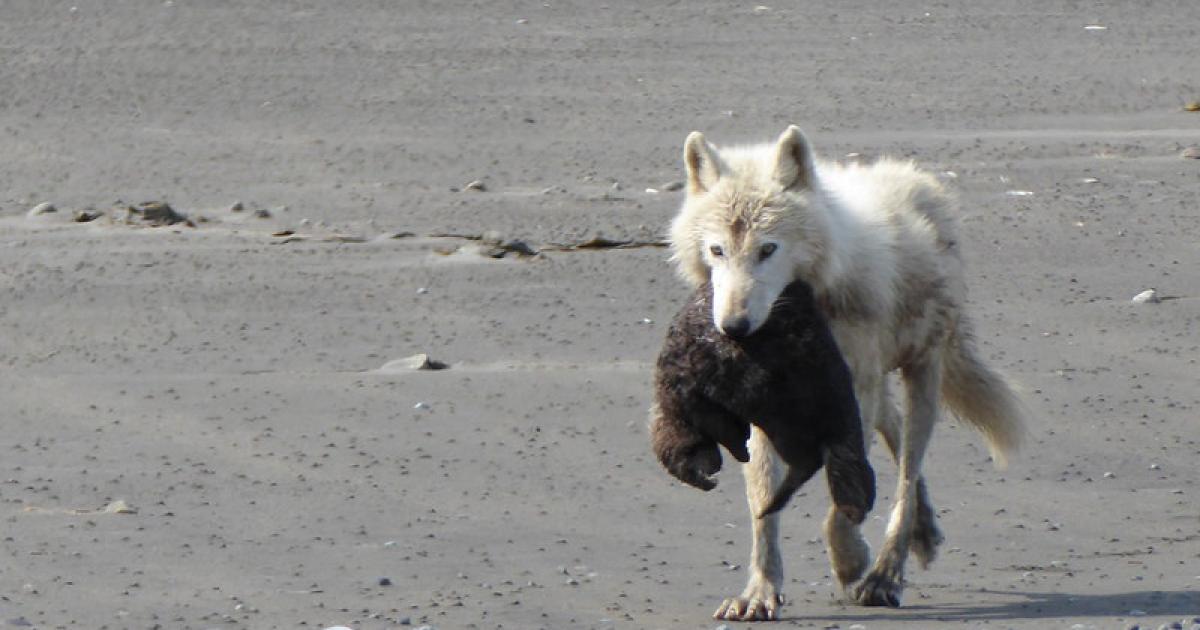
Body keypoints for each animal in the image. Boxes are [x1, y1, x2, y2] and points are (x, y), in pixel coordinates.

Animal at [668, 125, 1028, 620]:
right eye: (717, 250)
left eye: (767, 249)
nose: (734, 327)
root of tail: (916, 180)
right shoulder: (766, 410)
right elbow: (764, 505)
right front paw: (760, 591)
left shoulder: (854, 393)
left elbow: (843, 497)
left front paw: (851, 560)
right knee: (896, 439)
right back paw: (924, 533)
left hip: (921, 375)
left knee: (907, 473)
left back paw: (885, 573)